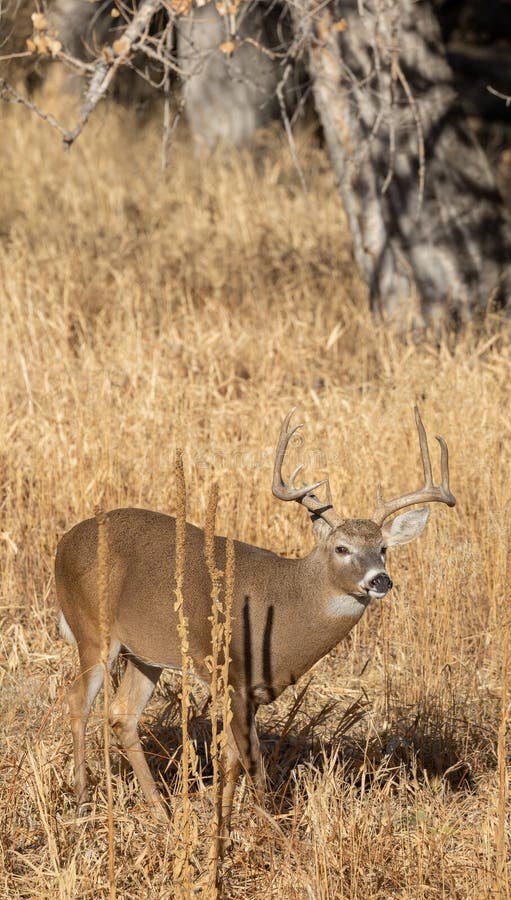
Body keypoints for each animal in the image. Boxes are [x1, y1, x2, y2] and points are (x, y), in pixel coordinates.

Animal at [56, 406, 455, 844]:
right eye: (341, 548)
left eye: (382, 548)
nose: (380, 580)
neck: (288, 607)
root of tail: (63, 543)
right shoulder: (233, 675)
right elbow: (252, 760)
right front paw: (271, 831)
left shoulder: (250, 691)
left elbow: (232, 757)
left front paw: (226, 828)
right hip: (92, 630)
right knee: (77, 698)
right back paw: (82, 801)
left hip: (145, 653)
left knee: (123, 715)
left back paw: (163, 815)